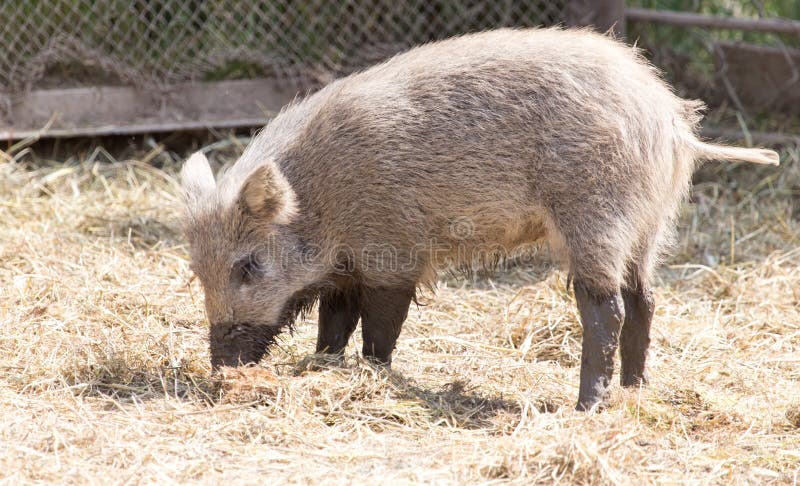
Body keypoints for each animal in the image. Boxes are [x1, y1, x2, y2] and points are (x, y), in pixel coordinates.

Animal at [179, 28, 779, 411]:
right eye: (197, 271)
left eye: (249, 265)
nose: (220, 367)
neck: (322, 199)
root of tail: (671, 124)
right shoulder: (346, 268)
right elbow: (334, 323)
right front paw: (324, 364)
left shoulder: (393, 252)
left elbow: (380, 325)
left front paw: (372, 373)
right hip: (652, 223)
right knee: (645, 299)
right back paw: (634, 392)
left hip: (598, 214)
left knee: (605, 306)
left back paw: (586, 407)